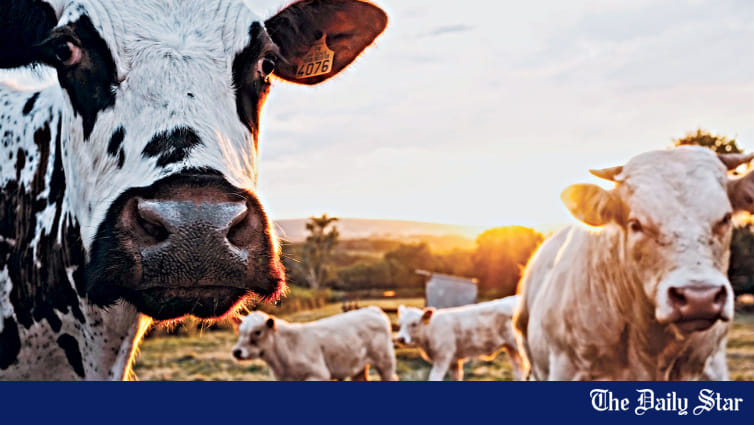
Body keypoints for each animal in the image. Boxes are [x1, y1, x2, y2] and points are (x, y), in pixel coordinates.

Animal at [231, 307, 398, 381]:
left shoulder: (318, 375)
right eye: (240, 330)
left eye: (257, 332)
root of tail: (372, 309)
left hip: (385, 362)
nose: (236, 352)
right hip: (358, 366)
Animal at [396, 296, 526, 381]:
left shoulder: (443, 357)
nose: (400, 339)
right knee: (518, 368)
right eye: (400, 323)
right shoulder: (454, 360)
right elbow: (457, 377)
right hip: (510, 347)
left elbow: (434, 377)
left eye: (414, 324)